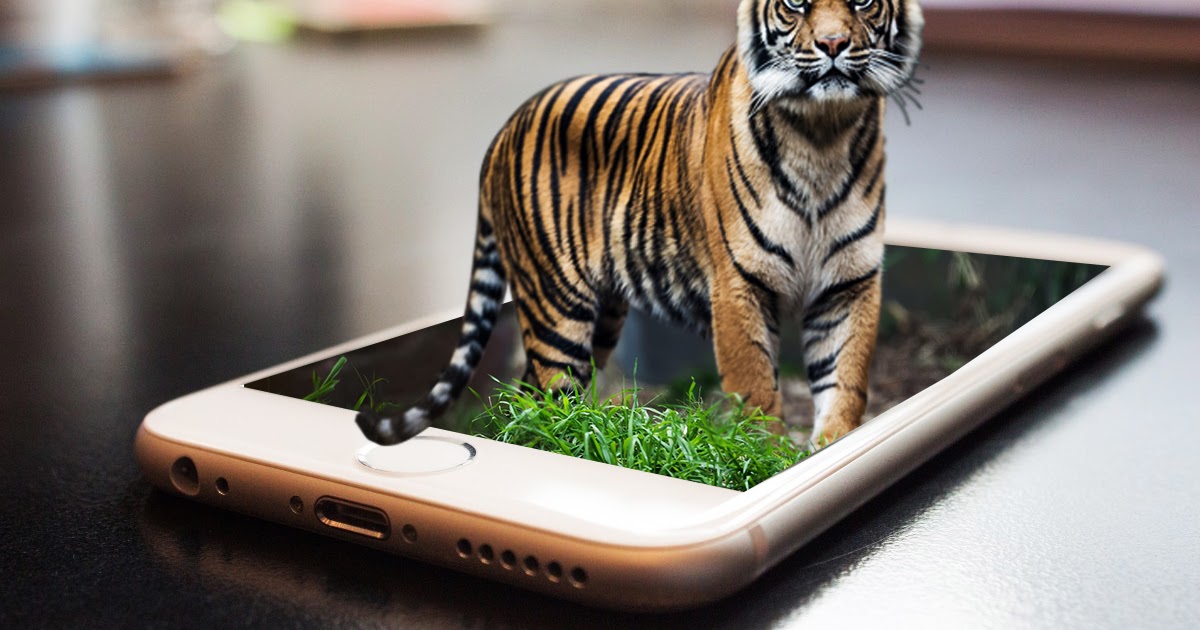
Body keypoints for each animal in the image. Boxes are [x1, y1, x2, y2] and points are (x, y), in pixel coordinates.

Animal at [357, 0, 924, 447]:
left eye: (863, 0)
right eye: (796, 3)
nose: (833, 44)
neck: (822, 135)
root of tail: (502, 131)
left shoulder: (849, 285)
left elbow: (844, 383)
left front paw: (830, 450)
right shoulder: (739, 287)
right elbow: (758, 392)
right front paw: (765, 462)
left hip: (605, 313)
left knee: (531, 397)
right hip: (557, 309)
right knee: (543, 400)